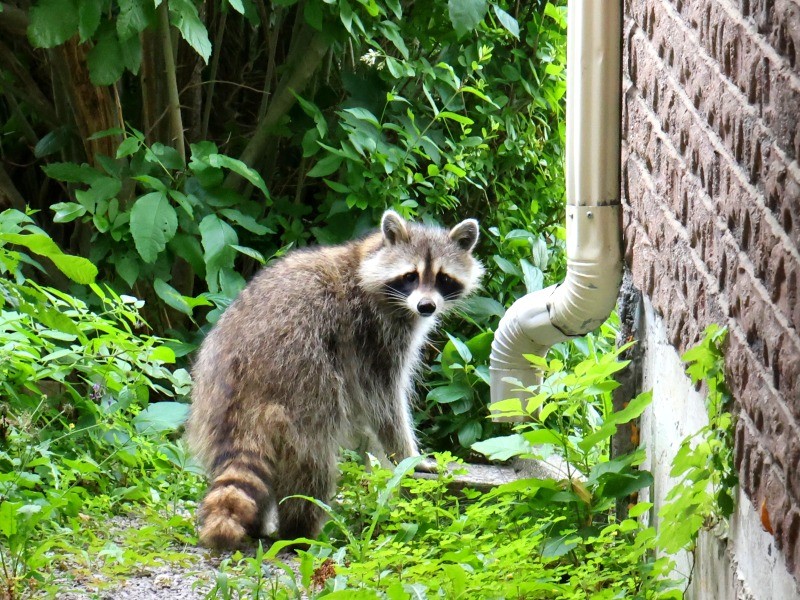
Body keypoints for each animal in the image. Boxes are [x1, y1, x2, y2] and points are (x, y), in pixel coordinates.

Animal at [186, 210, 483, 549]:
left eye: (443, 278)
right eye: (411, 276)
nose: (426, 307)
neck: (366, 258)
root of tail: (243, 385)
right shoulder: (371, 331)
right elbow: (383, 402)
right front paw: (408, 456)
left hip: (209, 398)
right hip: (302, 383)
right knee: (313, 464)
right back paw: (300, 531)